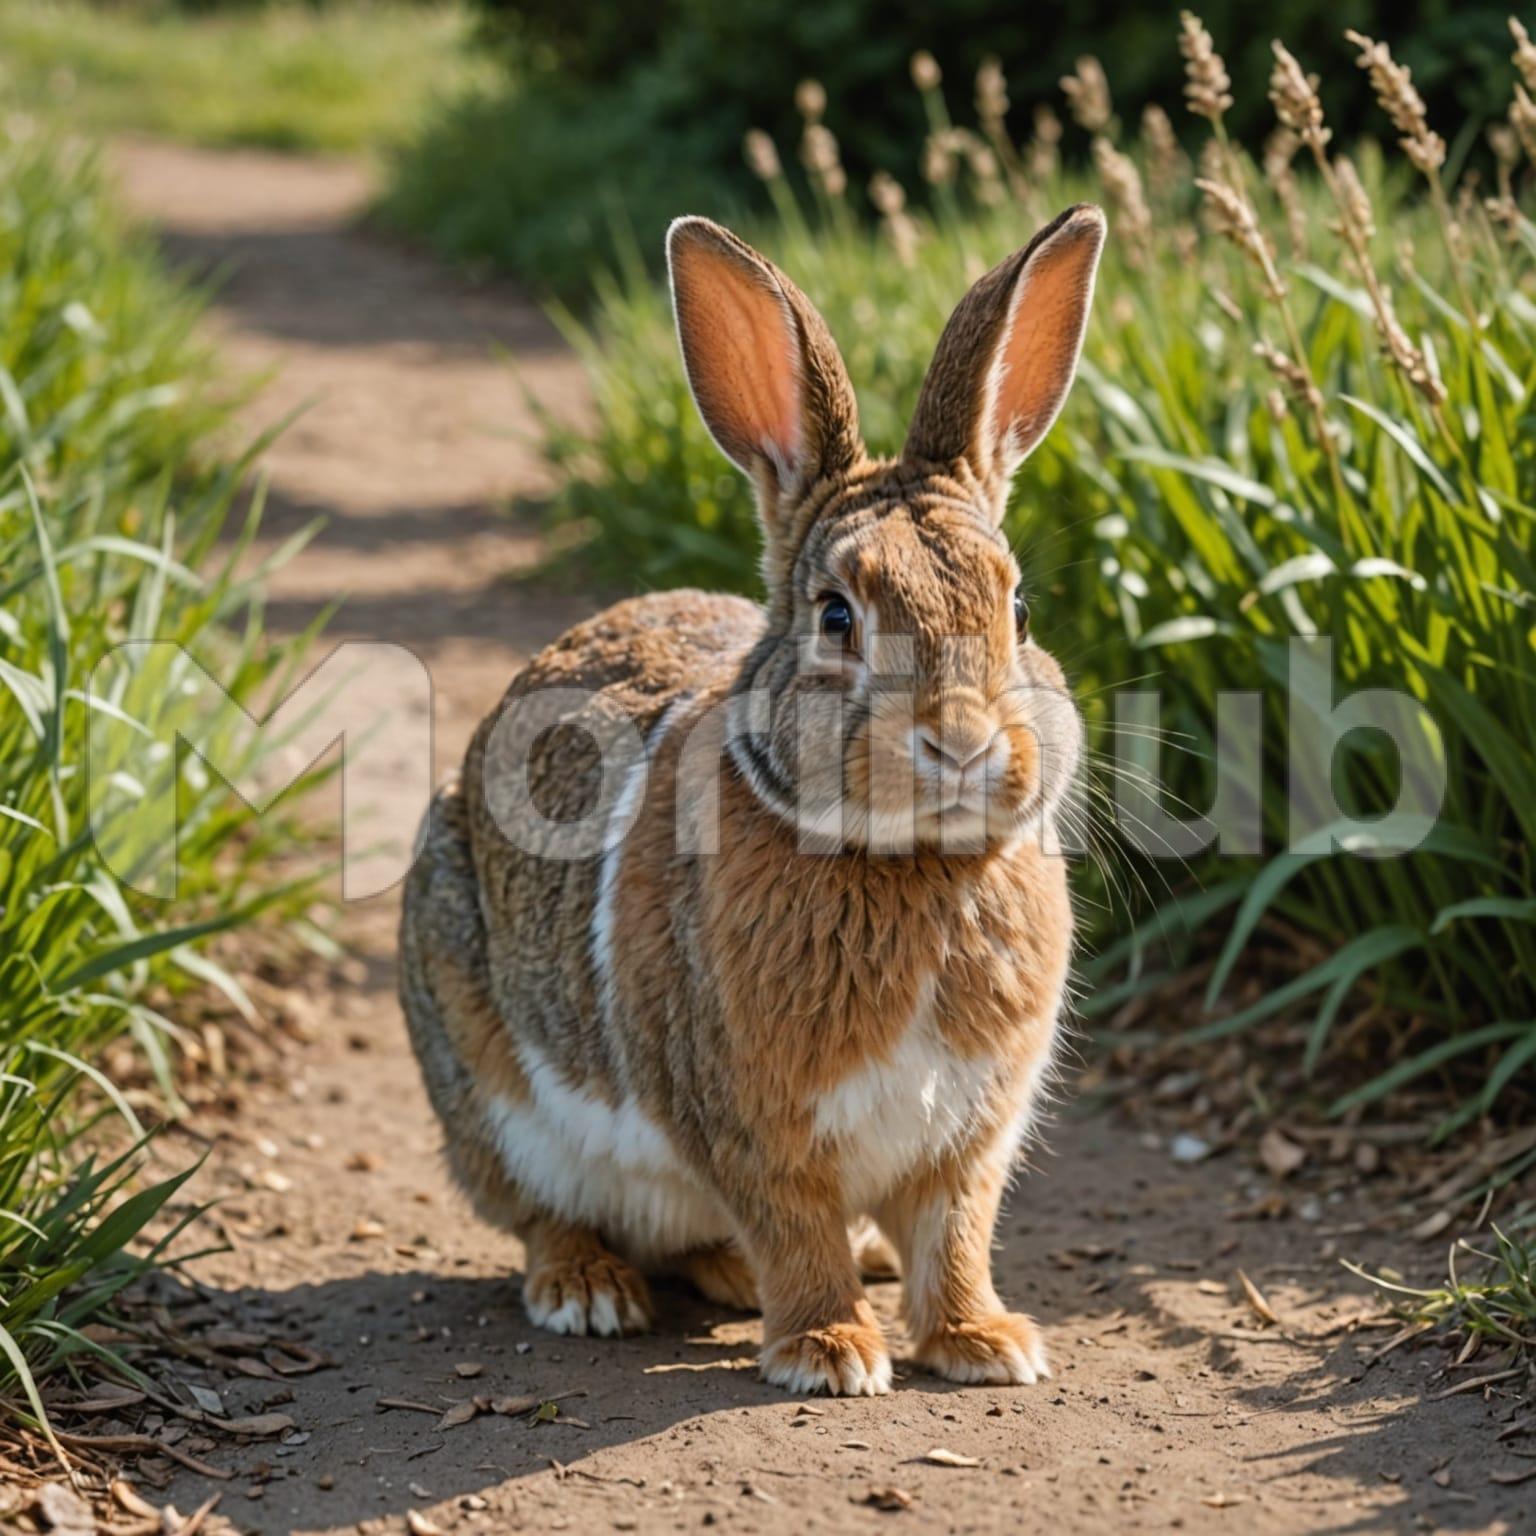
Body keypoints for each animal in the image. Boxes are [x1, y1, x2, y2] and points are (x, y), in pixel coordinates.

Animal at [399, 203, 1106, 1395]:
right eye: (836, 617)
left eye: (1017, 608)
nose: (962, 744)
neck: (913, 863)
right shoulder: (750, 1122)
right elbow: (795, 1229)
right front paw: (829, 1354)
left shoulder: (971, 1133)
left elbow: (956, 1233)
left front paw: (983, 1344)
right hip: (477, 1070)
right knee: (538, 1209)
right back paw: (590, 1292)